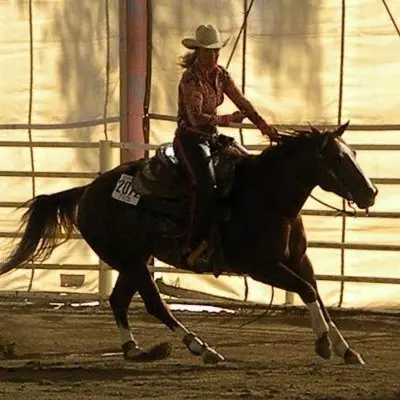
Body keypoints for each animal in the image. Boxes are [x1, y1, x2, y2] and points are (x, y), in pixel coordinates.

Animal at [0, 122, 376, 366]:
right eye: (337, 159)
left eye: (355, 152)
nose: (370, 192)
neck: (267, 197)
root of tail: (87, 191)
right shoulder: (261, 267)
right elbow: (307, 291)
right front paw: (324, 343)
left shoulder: (299, 260)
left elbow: (317, 294)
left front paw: (345, 349)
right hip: (131, 261)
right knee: (155, 305)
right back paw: (201, 347)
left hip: (134, 260)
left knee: (119, 301)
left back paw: (135, 349)